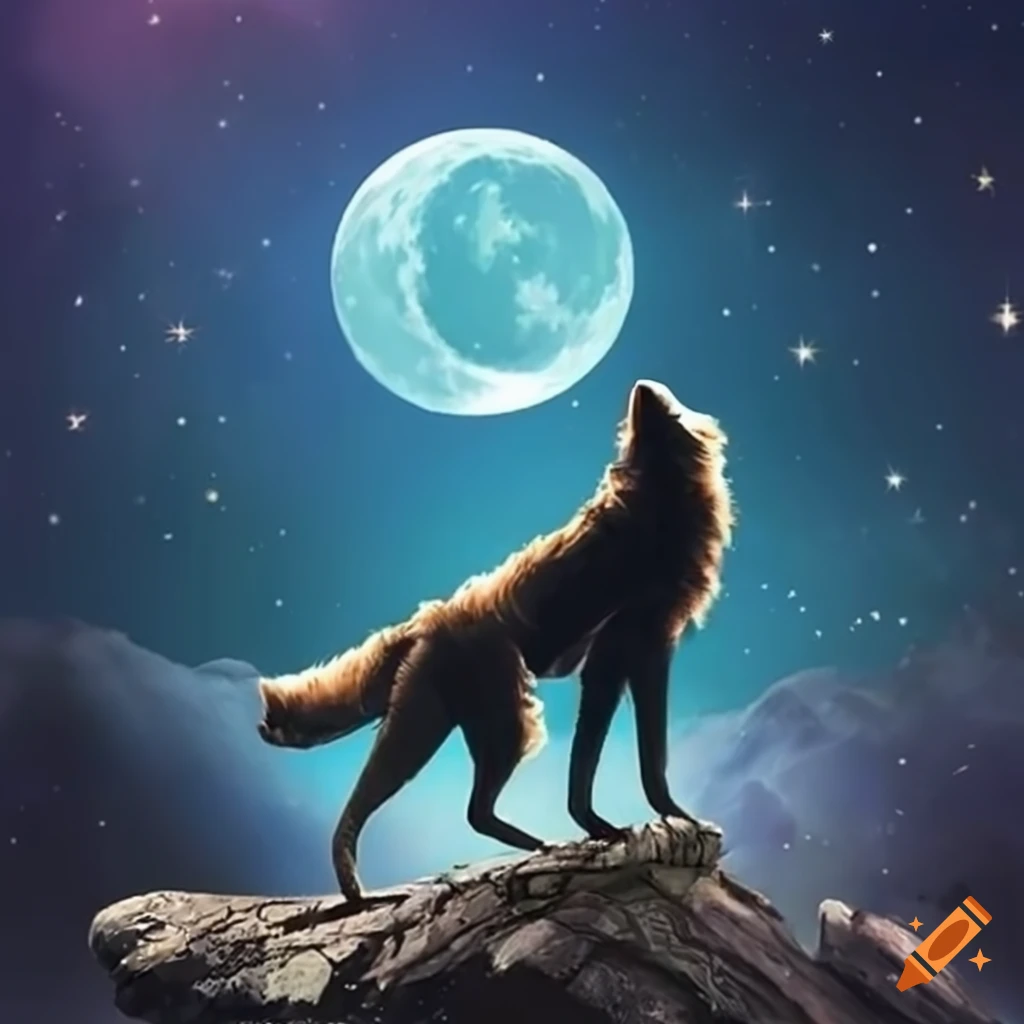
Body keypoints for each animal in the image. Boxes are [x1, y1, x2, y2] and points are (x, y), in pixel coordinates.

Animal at [258, 380, 734, 900]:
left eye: (663, 413)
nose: (643, 387)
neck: (658, 502)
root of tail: (424, 621)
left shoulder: (627, 654)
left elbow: (615, 760)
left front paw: (608, 826)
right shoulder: (633, 645)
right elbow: (641, 758)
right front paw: (651, 820)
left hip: (454, 720)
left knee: (472, 810)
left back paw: (535, 846)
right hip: (494, 723)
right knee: (446, 808)